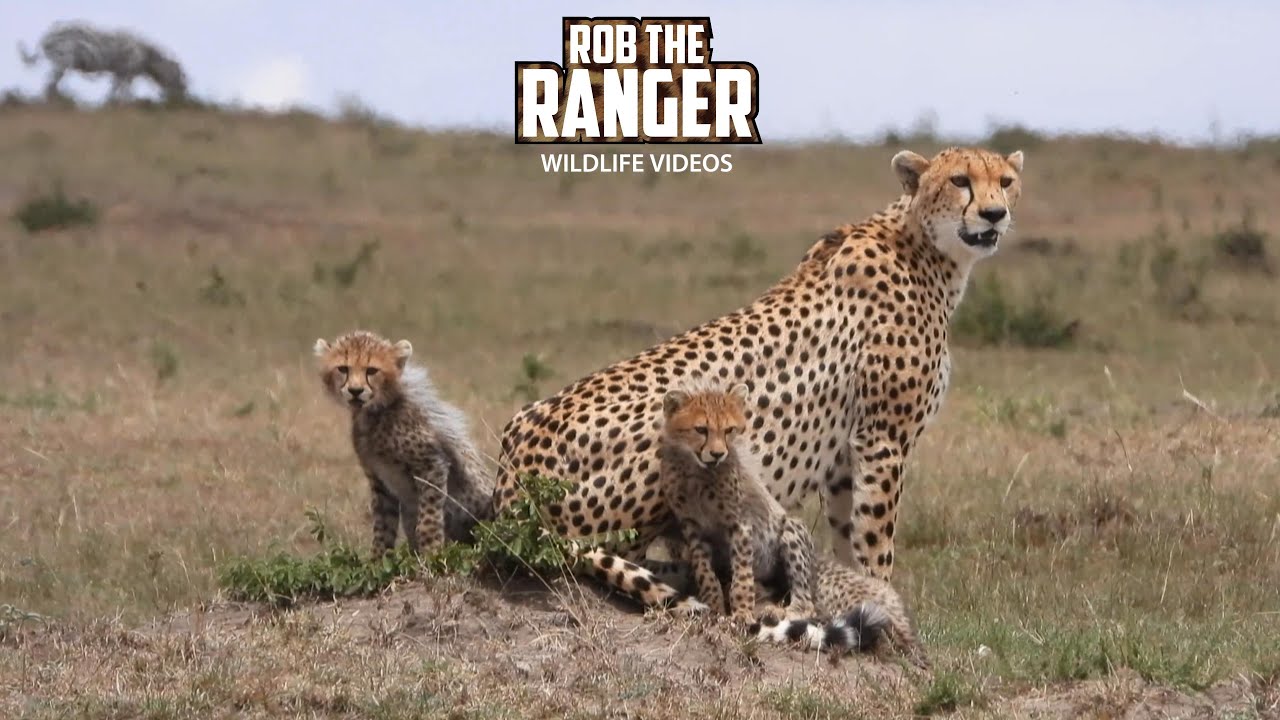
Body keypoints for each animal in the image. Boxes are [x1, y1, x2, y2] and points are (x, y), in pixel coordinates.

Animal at [314, 330, 493, 556]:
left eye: (371, 370)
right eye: (343, 369)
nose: (355, 390)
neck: (376, 413)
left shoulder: (432, 464)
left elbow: (428, 520)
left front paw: (433, 554)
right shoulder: (379, 480)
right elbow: (383, 527)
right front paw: (378, 560)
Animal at [494, 145, 1026, 593]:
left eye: (1006, 180)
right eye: (959, 180)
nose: (995, 214)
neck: (927, 250)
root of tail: (512, 471)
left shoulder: (845, 454)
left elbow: (848, 533)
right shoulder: (883, 439)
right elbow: (876, 538)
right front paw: (883, 595)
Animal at [657, 380, 816, 623]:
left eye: (728, 430)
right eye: (701, 430)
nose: (717, 454)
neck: (696, 472)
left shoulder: (739, 522)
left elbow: (742, 572)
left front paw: (742, 612)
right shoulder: (691, 527)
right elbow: (704, 571)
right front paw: (715, 606)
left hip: (791, 528)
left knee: (807, 603)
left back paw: (780, 611)